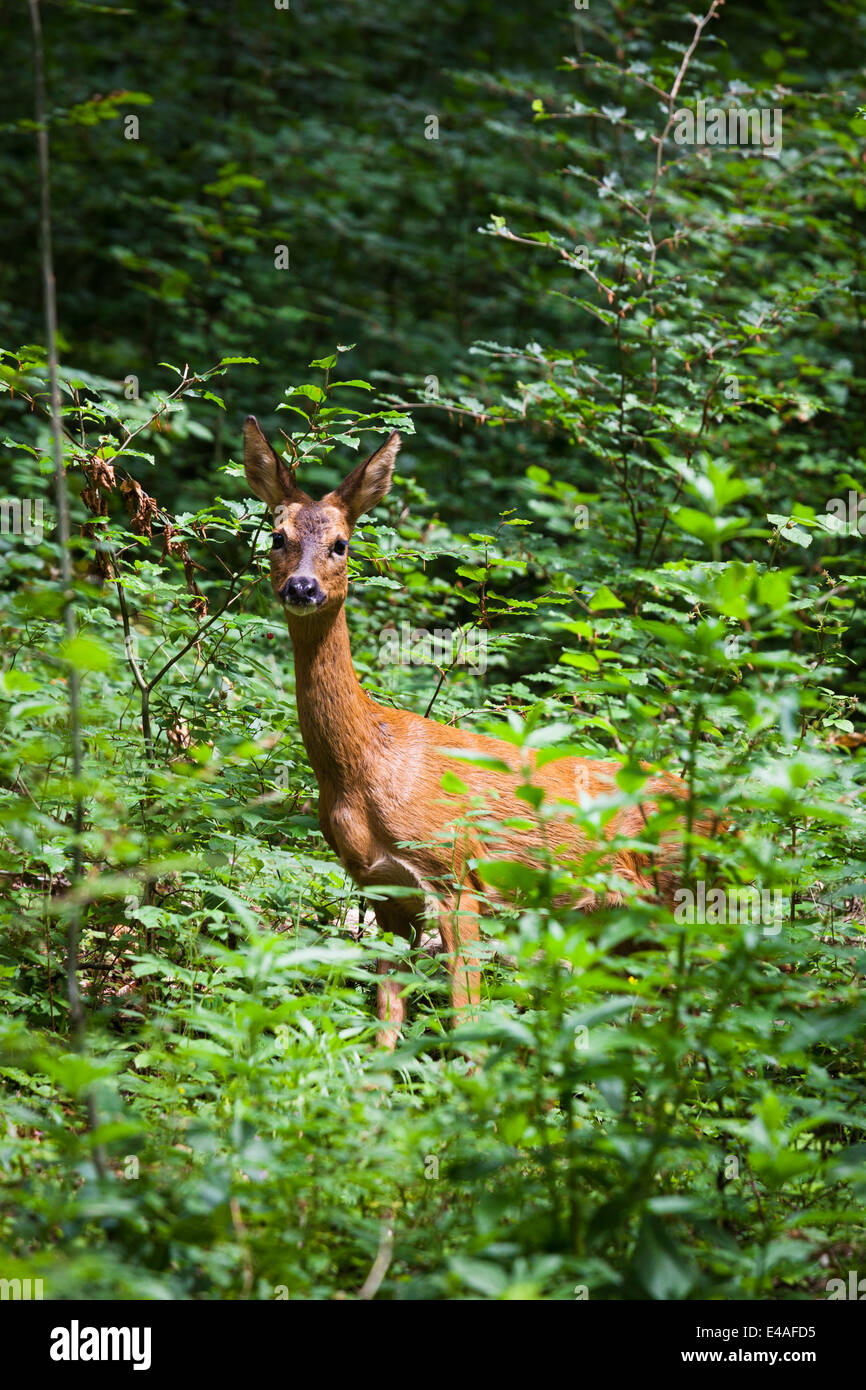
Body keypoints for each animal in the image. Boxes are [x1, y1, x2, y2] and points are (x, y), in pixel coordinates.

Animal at [244, 417, 706, 1046]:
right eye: (276, 537)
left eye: (341, 543)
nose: (302, 588)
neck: (367, 767)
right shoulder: (381, 891)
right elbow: (386, 1025)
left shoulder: (456, 874)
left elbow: (468, 1020)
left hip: (681, 895)